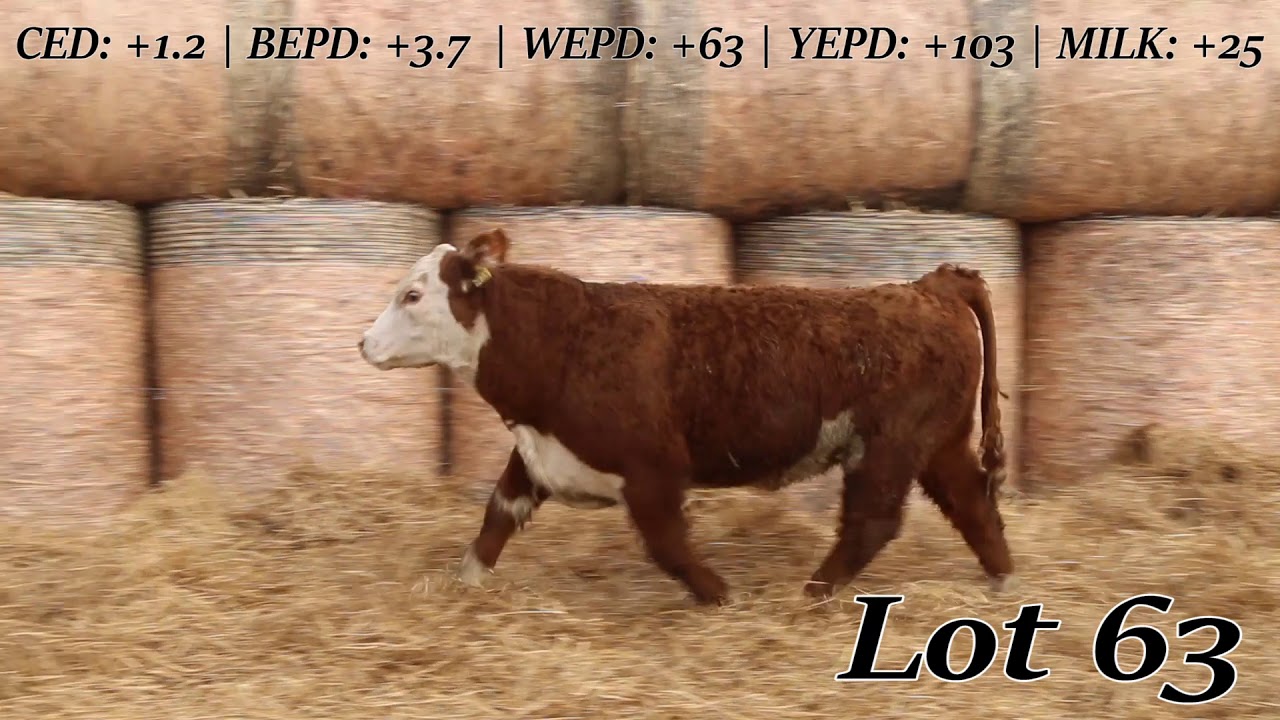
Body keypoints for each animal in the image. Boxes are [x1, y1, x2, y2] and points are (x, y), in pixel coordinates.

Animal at [357, 227, 1016, 605]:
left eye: (412, 295)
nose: (363, 343)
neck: (566, 339)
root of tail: (929, 288)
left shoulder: (653, 470)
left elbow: (668, 544)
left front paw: (721, 597)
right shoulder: (539, 456)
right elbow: (497, 518)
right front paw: (463, 585)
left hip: (887, 450)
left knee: (871, 523)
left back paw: (812, 595)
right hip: (939, 445)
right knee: (974, 505)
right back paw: (1002, 580)